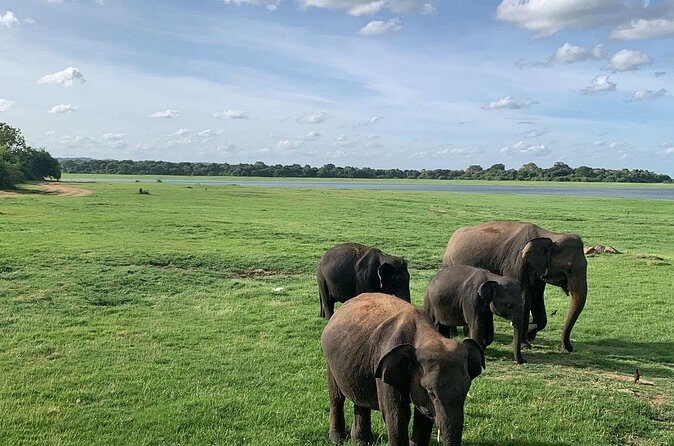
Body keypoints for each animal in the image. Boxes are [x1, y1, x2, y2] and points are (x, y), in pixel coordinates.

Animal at [321, 293, 484, 446]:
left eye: (466, 391)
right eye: (431, 393)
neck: (428, 336)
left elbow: (424, 416)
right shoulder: (384, 368)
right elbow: (397, 415)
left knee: (360, 398)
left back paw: (362, 442)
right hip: (330, 360)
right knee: (336, 397)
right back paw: (338, 439)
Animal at [443, 220, 588, 353]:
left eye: (586, 264)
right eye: (568, 268)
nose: (568, 349)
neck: (549, 235)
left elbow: (536, 297)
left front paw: (530, 333)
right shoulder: (515, 263)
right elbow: (523, 296)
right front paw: (525, 344)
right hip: (449, 262)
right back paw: (453, 332)